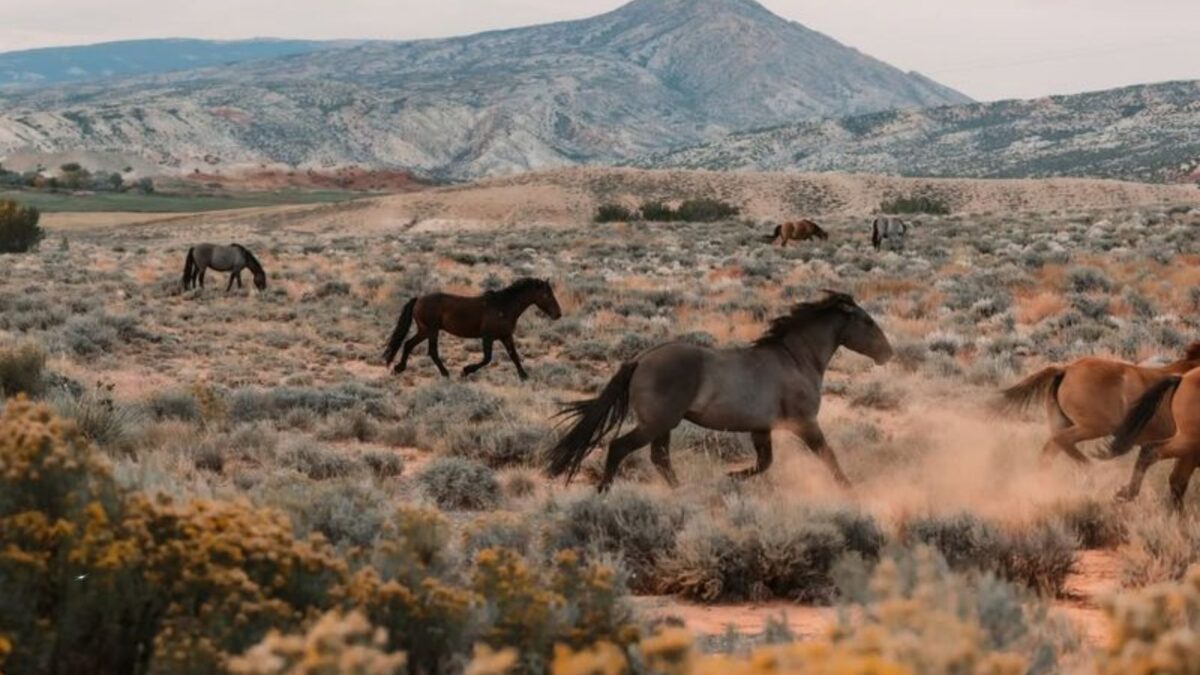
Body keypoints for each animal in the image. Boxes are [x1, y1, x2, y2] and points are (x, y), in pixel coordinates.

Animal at [383, 278, 562, 381]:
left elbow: (514, 356)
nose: (558, 314)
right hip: (431, 331)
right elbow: (487, 359)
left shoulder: (506, 336)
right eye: (546, 295)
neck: (503, 306)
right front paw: (465, 371)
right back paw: (445, 374)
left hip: (425, 330)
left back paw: (399, 368)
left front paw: (524, 376)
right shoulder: (487, 337)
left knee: (409, 344)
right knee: (430, 351)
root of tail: (418, 299)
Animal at [544, 291, 894, 493]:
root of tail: (641, 358)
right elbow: (827, 456)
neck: (796, 359)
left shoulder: (761, 428)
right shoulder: (805, 423)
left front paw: (729, 477)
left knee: (660, 458)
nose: (888, 354)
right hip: (657, 423)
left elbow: (765, 463)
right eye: (868, 322)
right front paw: (849, 490)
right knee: (620, 448)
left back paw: (681, 492)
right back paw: (605, 492)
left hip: (663, 425)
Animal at [1106, 366, 1200, 510]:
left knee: (1177, 481)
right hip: (1188, 441)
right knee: (1150, 451)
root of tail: (1183, 378)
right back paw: (1128, 493)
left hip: (1189, 449)